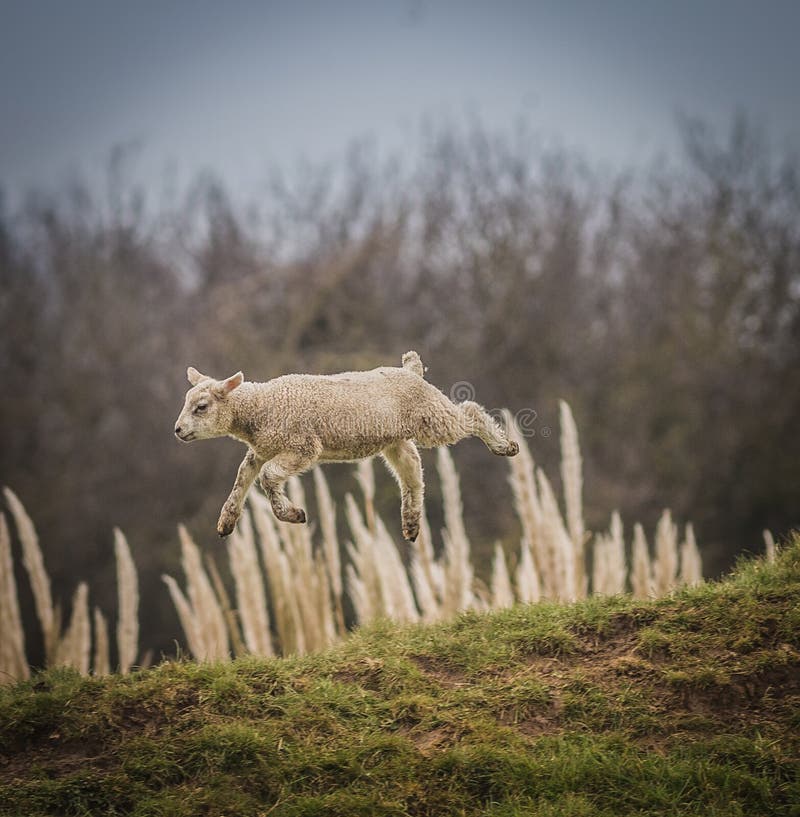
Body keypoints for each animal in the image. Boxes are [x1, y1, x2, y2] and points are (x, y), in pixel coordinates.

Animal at [174, 351, 519, 541]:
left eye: (201, 407)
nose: (177, 430)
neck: (259, 407)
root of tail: (412, 371)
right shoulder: (260, 451)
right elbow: (242, 480)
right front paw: (226, 522)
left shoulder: (303, 447)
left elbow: (268, 478)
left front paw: (293, 514)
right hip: (396, 440)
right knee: (413, 477)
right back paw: (410, 525)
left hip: (432, 417)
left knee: (470, 412)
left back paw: (505, 445)